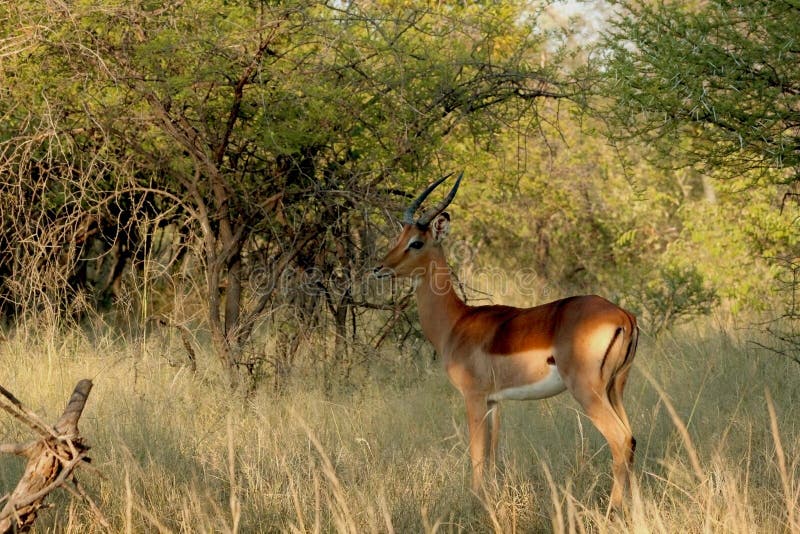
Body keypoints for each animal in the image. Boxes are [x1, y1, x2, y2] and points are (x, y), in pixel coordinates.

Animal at [373, 173, 639, 511]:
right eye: (399, 237)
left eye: (416, 242)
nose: (379, 268)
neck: (456, 322)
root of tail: (623, 316)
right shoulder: (494, 402)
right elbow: (492, 455)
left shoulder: (473, 397)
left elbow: (477, 455)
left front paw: (475, 503)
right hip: (615, 389)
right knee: (631, 439)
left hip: (587, 391)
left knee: (620, 440)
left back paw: (612, 509)